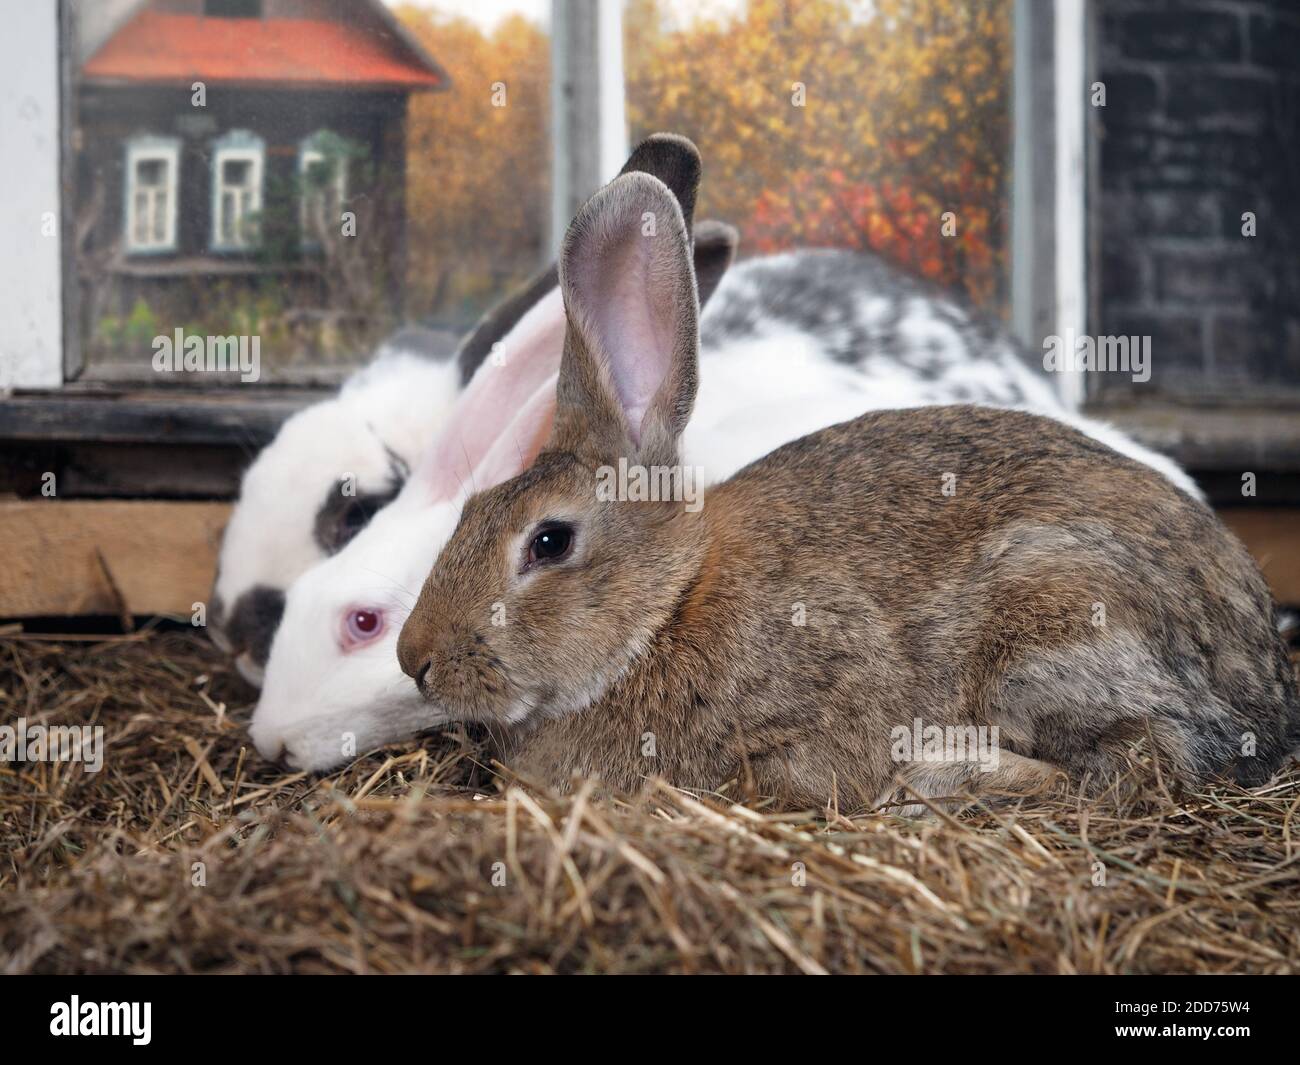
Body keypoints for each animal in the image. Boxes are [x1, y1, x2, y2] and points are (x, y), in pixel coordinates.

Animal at [394, 169, 1299, 811]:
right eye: (470, 512)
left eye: (548, 542)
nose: (414, 659)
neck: (665, 609)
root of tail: (1267, 689)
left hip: (1052, 613)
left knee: (1136, 767)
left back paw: (937, 778)